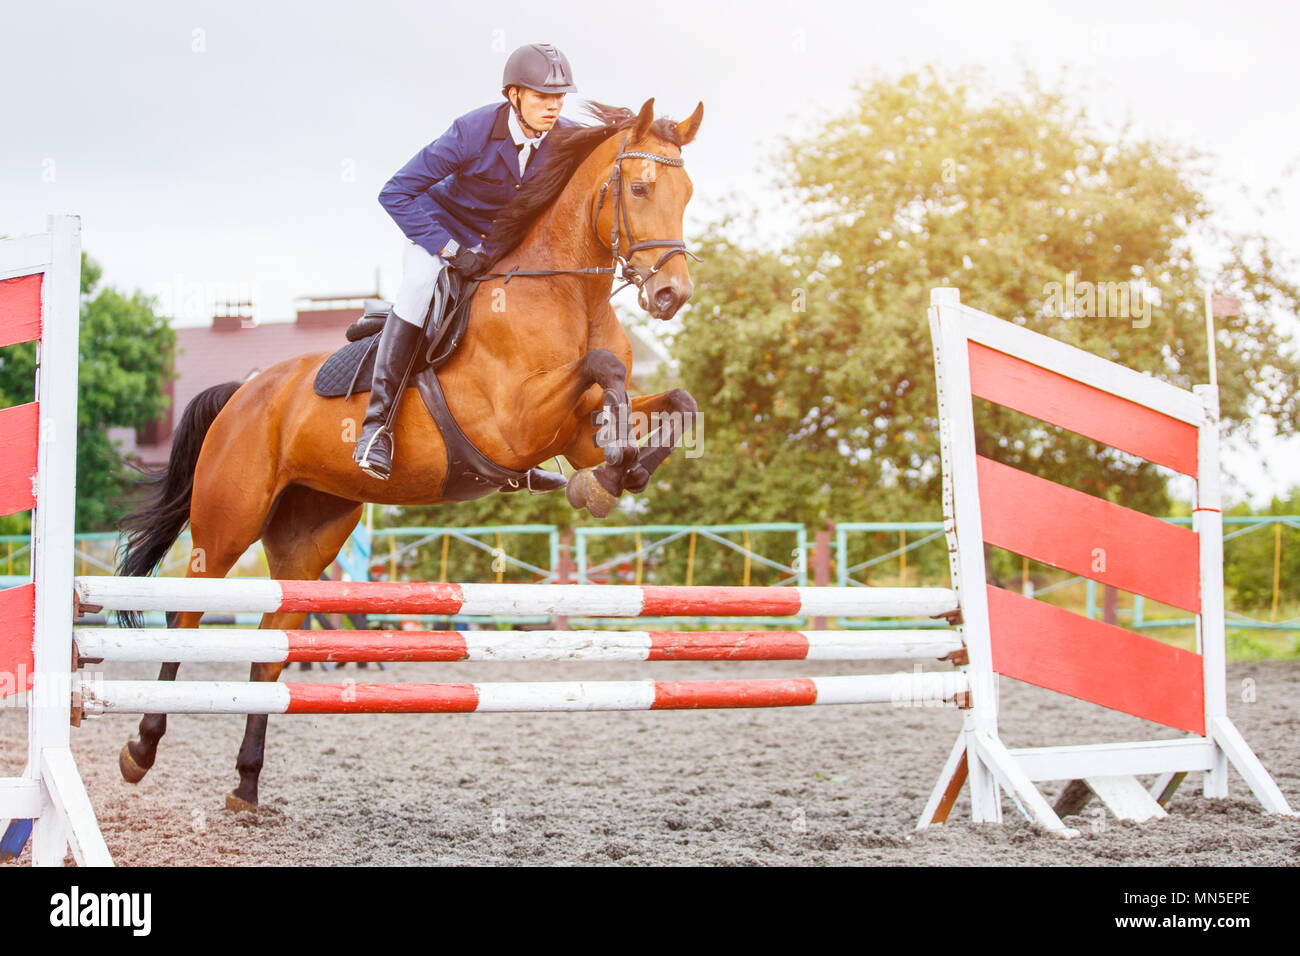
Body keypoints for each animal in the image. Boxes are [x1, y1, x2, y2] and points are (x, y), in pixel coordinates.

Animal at [114, 98, 704, 810]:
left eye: (687, 193)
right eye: (640, 189)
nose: (672, 296)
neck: (566, 294)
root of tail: (244, 393)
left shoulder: (566, 433)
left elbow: (676, 400)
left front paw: (616, 475)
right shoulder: (512, 421)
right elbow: (606, 365)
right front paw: (611, 469)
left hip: (308, 539)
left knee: (270, 649)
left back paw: (247, 786)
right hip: (227, 523)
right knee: (186, 615)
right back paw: (140, 750)